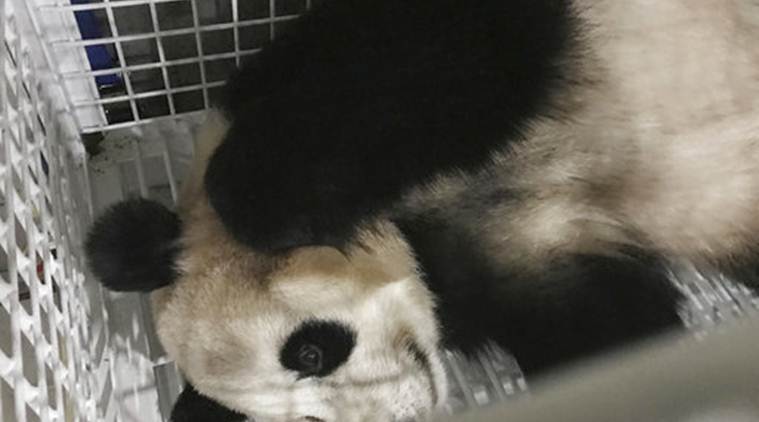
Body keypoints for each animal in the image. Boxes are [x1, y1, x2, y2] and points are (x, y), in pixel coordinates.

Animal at [84, 0, 759, 421]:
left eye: (310, 353)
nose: (406, 413)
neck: (412, 227)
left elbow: (449, 53)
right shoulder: (518, 263)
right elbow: (612, 337)